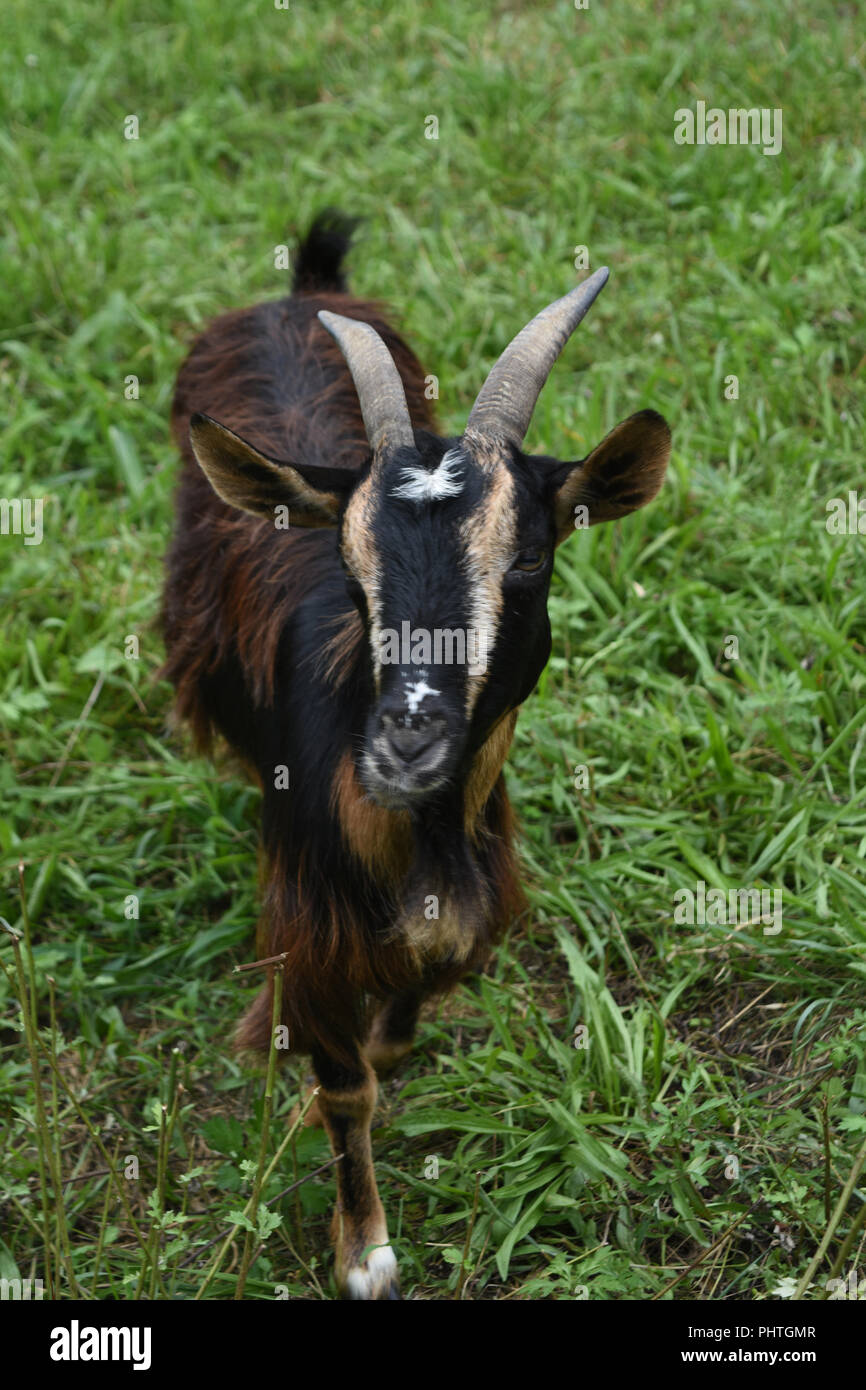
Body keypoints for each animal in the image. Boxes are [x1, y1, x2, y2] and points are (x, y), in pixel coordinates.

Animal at [162, 211, 671, 1299]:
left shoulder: (472, 894)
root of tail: (299, 290)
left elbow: (406, 1010)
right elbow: (345, 1082)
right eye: (353, 570)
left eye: (528, 558)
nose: (405, 740)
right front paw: (363, 1249)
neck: (421, 833)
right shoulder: (309, 923)